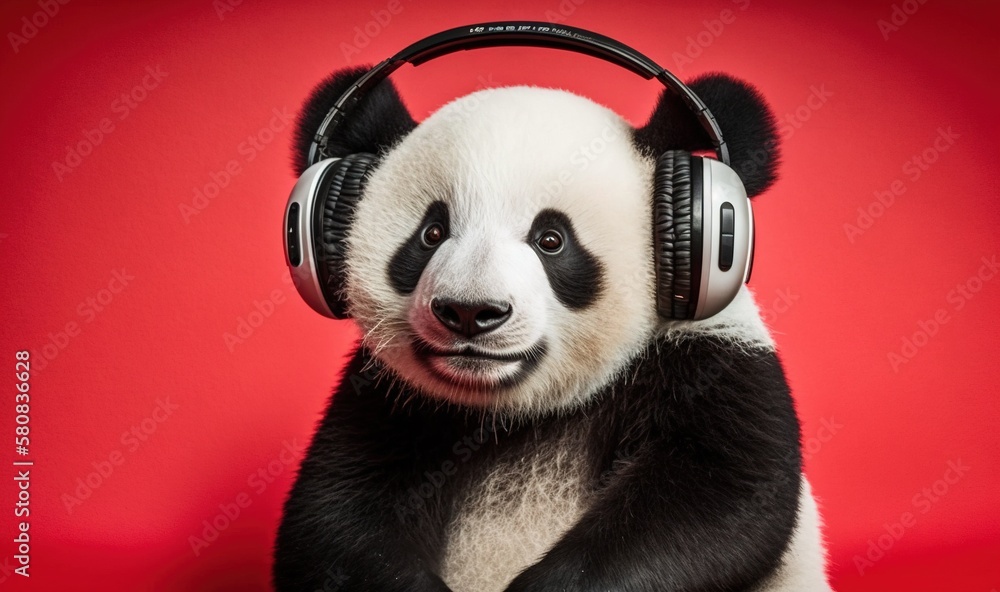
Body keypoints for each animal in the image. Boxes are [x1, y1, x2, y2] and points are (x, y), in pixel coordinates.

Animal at [274, 64, 834, 592]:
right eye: (431, 233)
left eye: (551, 240)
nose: (470, 312)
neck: (521, 408)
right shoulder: (391, 395)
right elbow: (334, 517)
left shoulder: (708, 355)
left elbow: (720, 496)